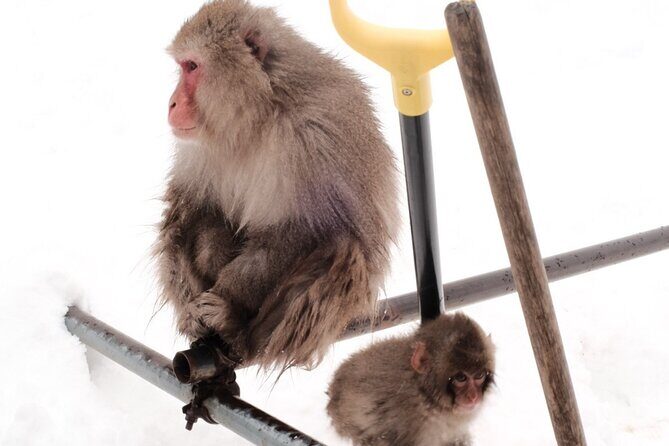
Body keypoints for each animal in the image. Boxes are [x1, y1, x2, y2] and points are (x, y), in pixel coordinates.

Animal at [154, 0, 399, 371]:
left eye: (191, 66)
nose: (172, 102)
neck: (260, 112)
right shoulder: (199, 149)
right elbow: (192, 206)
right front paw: (194, 310)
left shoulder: (312, 140)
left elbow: (303, 230)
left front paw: (227, 300)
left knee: (340, 248)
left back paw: (235, 330)